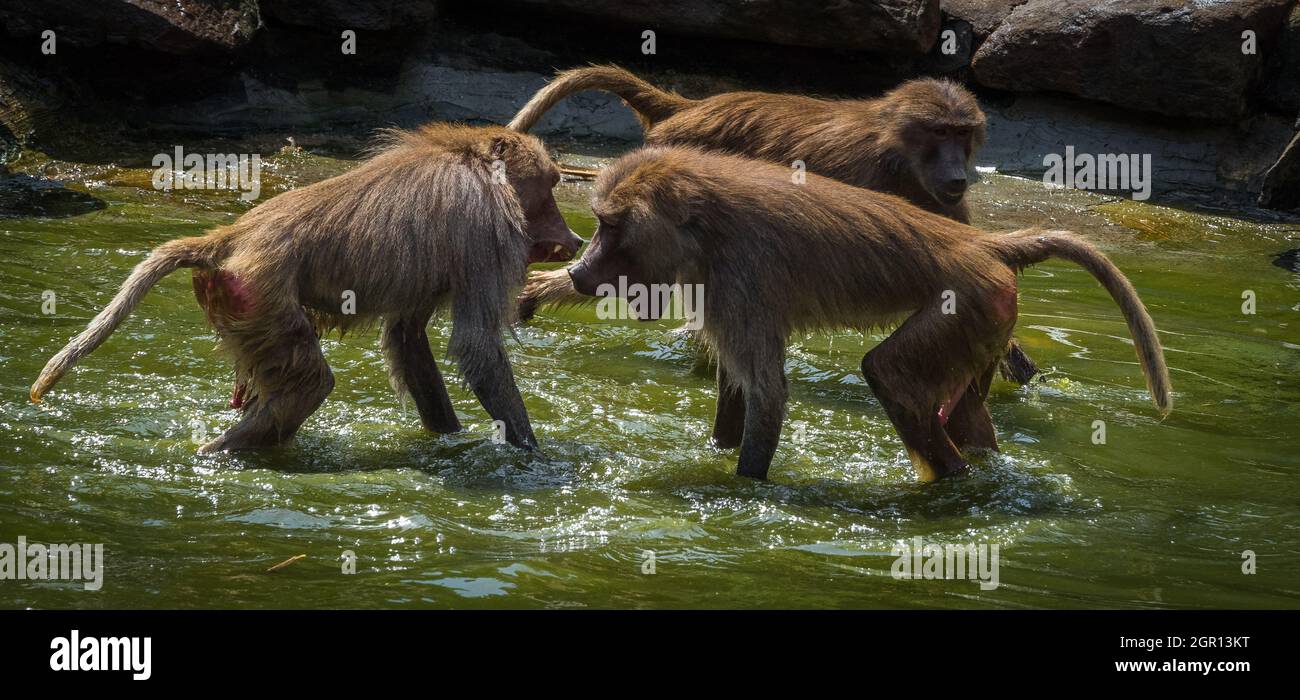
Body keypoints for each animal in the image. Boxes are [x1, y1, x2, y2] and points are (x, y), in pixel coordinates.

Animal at [30, 124, 584, 453]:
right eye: (549, 187)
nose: (575, 239)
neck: (474, 163)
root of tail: (232, 237)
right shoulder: (488, 229)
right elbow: (475, 344)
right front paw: (531, 454)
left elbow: (408, 338)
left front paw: (446, 437)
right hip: (259, 292)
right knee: (311, 383)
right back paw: (219, 452)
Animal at [565, 146, 1171, 481]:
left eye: (612, 226)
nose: (578, 272)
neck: (705, 228)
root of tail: (983, 244)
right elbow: (735, 390)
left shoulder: (741, 282)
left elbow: (767, 394)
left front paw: (741, 489)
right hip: (989, 318)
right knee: (965, 413)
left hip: (969, 299)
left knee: (890, 374)